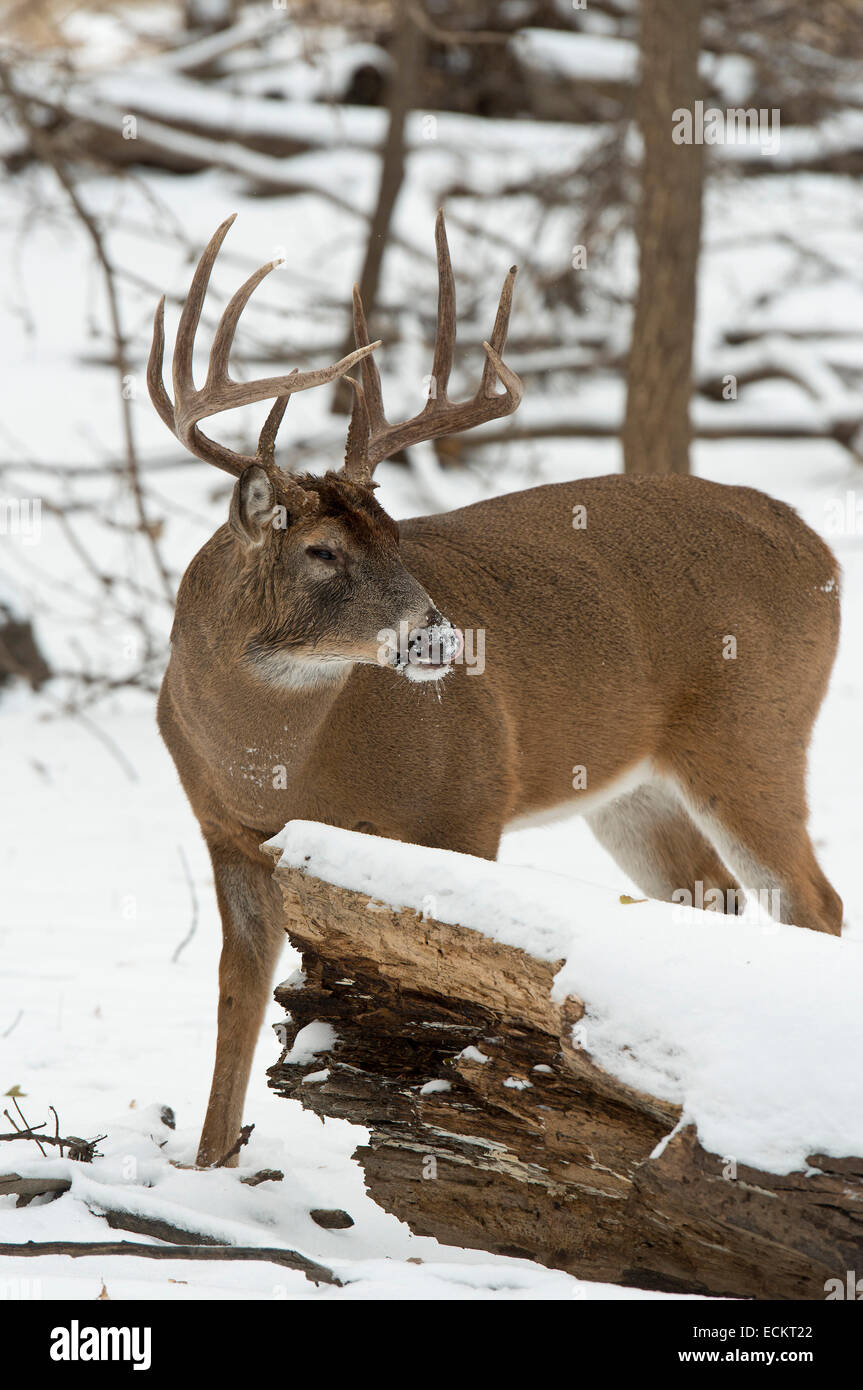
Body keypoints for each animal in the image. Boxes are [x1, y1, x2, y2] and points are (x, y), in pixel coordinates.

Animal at [149, 212, 843, 1167]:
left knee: (815, 903)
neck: (274, 755)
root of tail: (820, 546)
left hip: (756, 730)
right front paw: (211, 1164)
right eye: (320, 550)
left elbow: (455, 969)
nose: (440, 635)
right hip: (630, 793)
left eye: (397, 535)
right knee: (712, 898)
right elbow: (233, 1002)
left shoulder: (466, 803)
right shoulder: (227, 831)